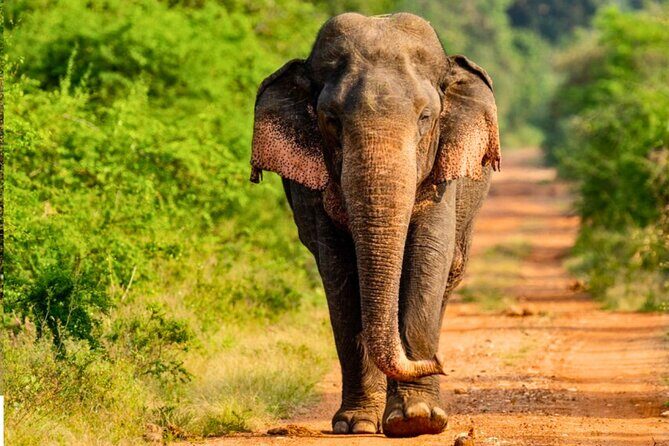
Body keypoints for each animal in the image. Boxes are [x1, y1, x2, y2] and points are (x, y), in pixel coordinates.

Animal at [249, 12, 500, 438]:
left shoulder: (442, 178)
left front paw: (418, 420)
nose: (441, 362)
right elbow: (339, 271)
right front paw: (355, 425)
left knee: (449, 273)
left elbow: (428, 257)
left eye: (426, 118)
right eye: (331, 120)